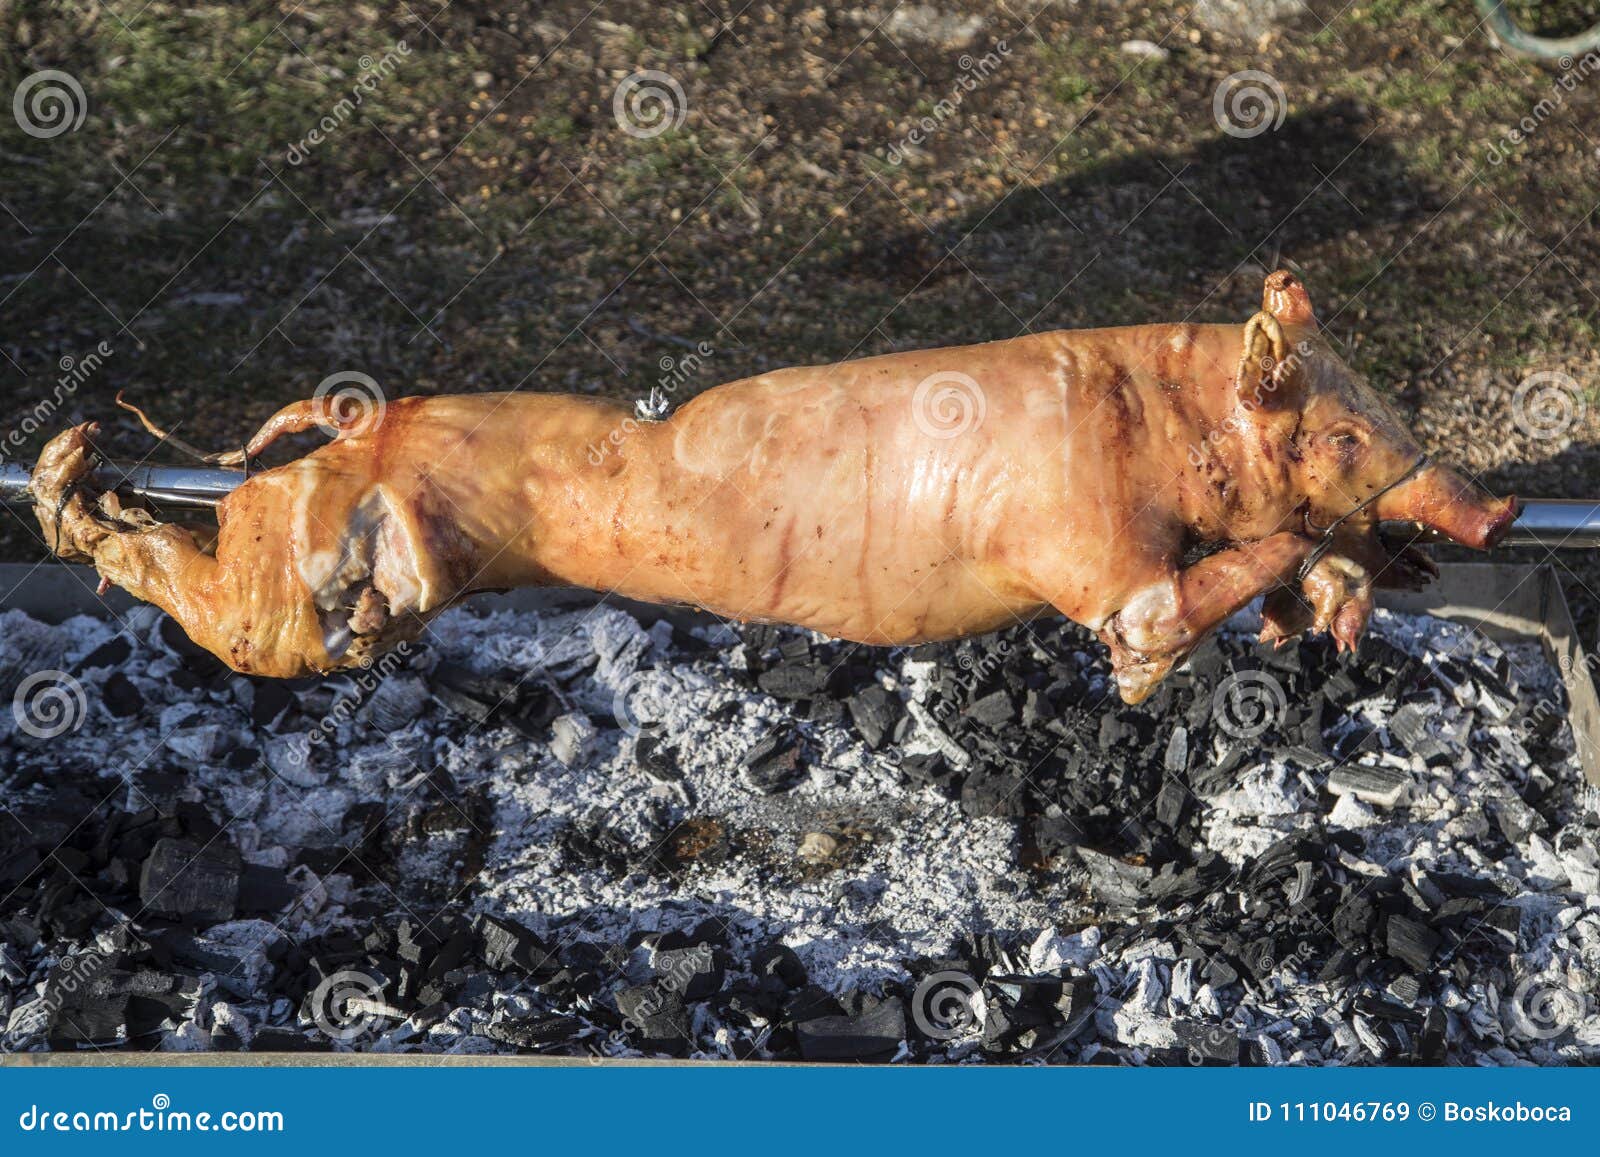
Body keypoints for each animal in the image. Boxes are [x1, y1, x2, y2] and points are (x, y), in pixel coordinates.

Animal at [30, 270, 1516, 702]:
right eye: (1342, 434)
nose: (1496, 512)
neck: (1154, 416)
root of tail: (354, 423)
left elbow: (1290, 567)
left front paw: (1331, 613)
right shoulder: (1098, 563)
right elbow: (1153, 634)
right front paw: (1292, 592)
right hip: (299, 582)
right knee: (192, 582)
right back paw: (74, 462)